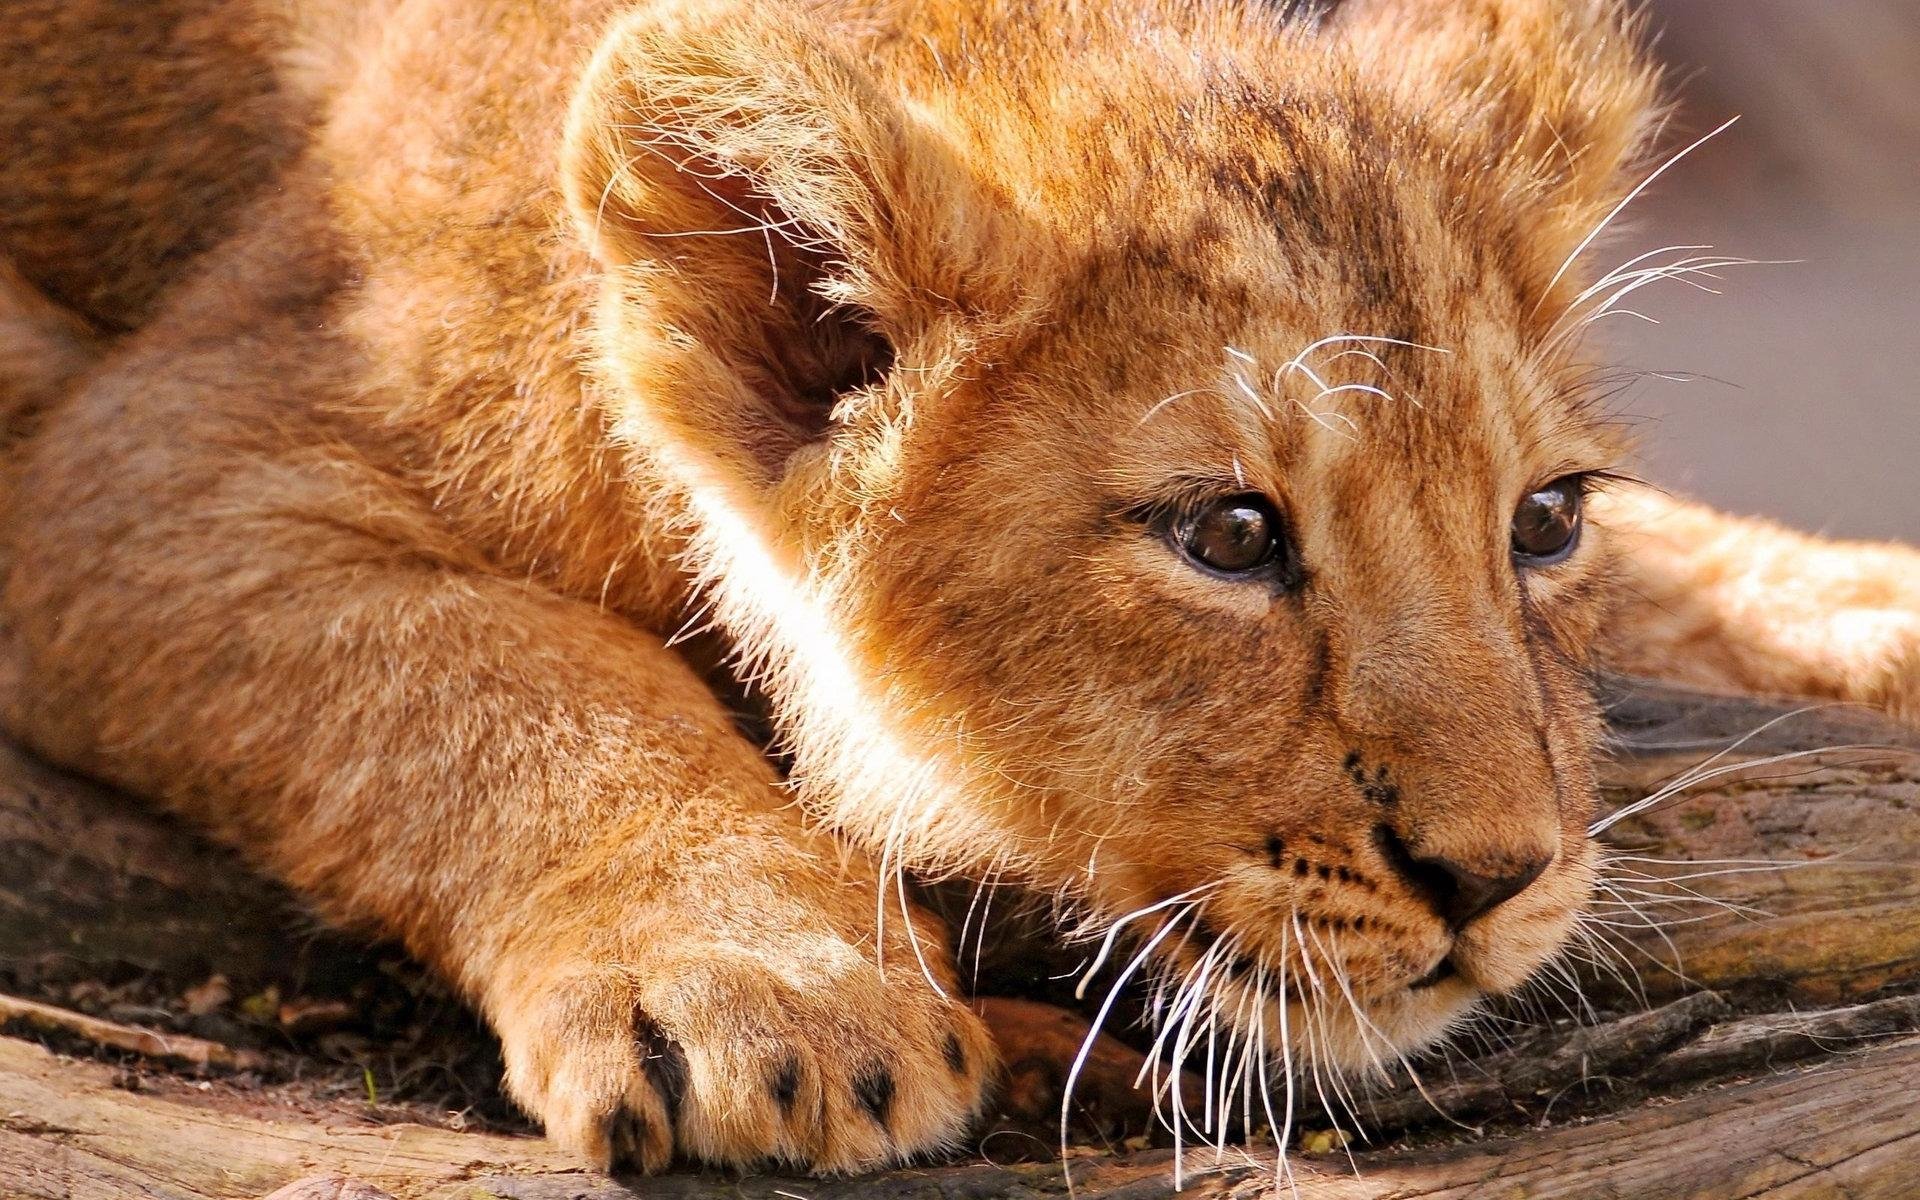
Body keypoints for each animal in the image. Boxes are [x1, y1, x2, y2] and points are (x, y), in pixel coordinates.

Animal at [3, 0, 1917, 1176]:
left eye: (1544, 523)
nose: (1499, 881)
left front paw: (1870, 613)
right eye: (1231, 537)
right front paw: (767, 984)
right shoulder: (148, 464)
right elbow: (493, 667)